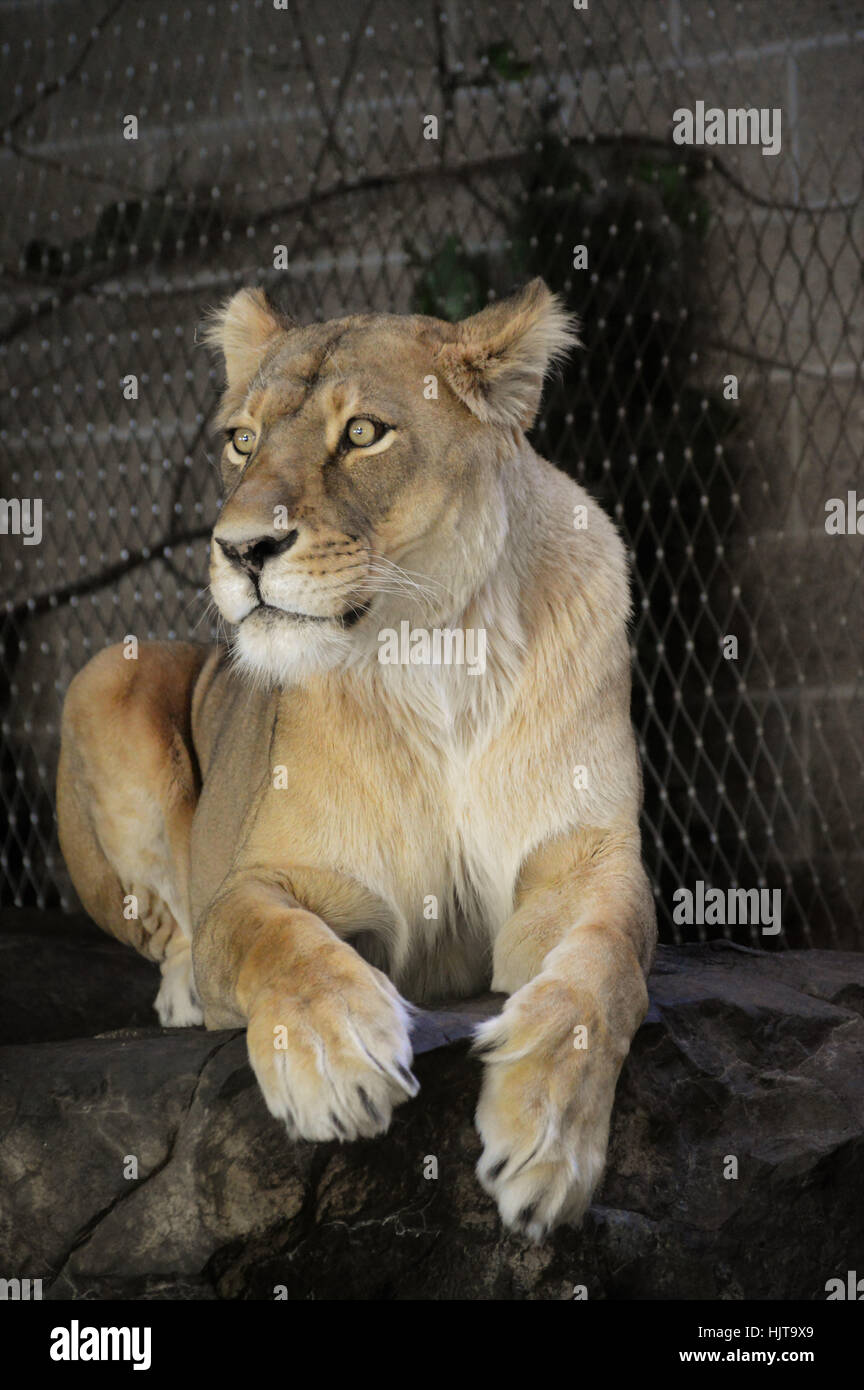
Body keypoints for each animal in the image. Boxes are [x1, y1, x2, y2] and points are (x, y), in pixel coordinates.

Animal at [56, 279, 656, 1240]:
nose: (242, 549)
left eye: (365, 433)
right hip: (107, 670)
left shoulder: (587, 862)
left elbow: (602, 974)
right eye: (243, 439)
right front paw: (335, 1059)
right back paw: (185, 997)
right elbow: (278, 943)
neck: (435, 651)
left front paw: (547, 1142)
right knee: (168, 931)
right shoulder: (266, 883)